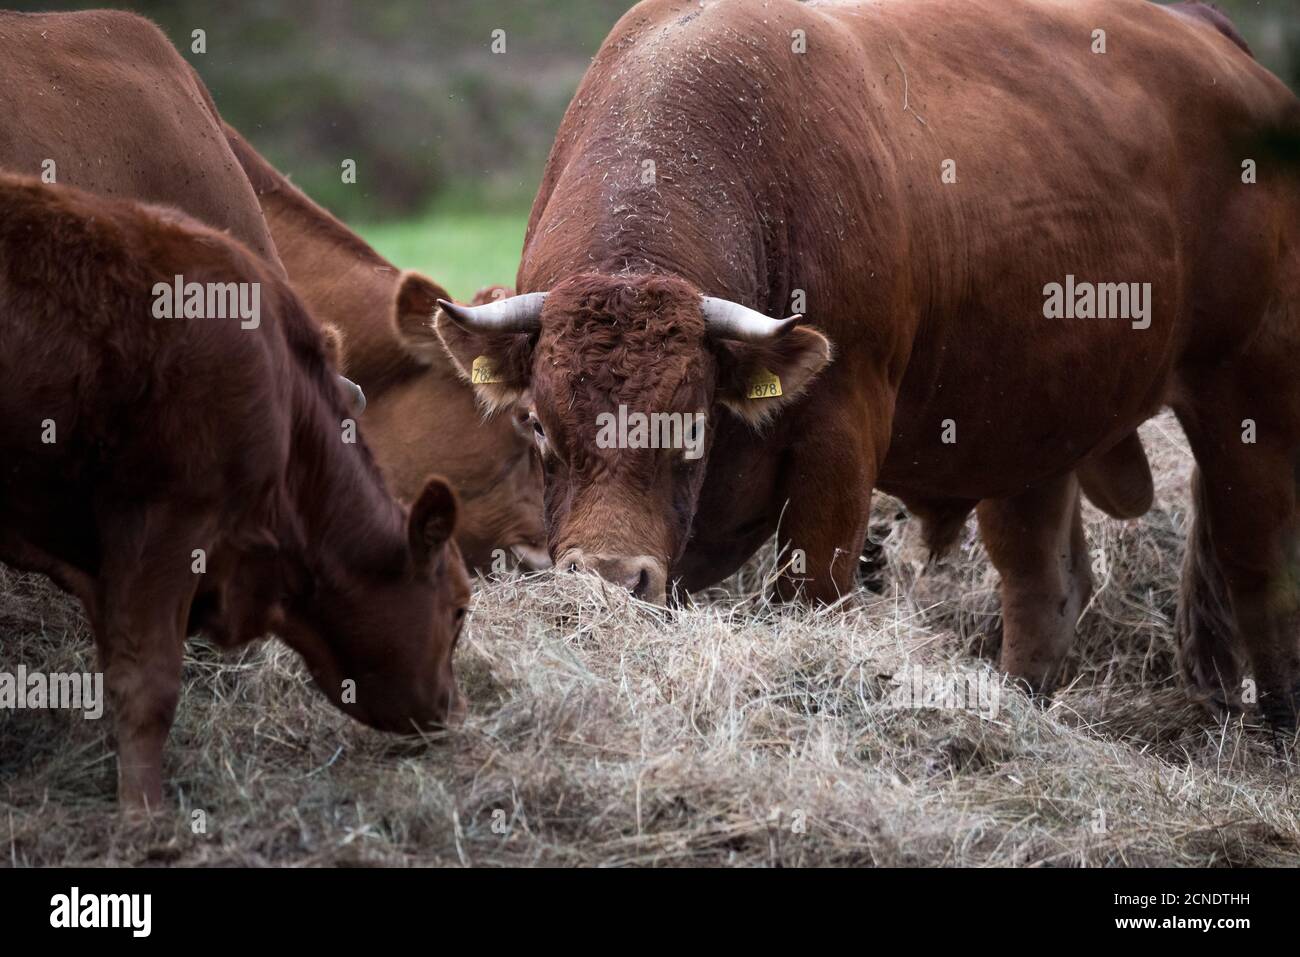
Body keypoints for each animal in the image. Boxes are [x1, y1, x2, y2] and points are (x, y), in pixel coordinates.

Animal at [434, 0, 1300, 724]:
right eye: (537, 427)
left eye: (693, 430)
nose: (609, 581)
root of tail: (1220, 45)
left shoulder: (839, 442)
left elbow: (810, 591)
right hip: (1034, 429)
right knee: (1043, 587)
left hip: (1249, 398)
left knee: (1261, 573)